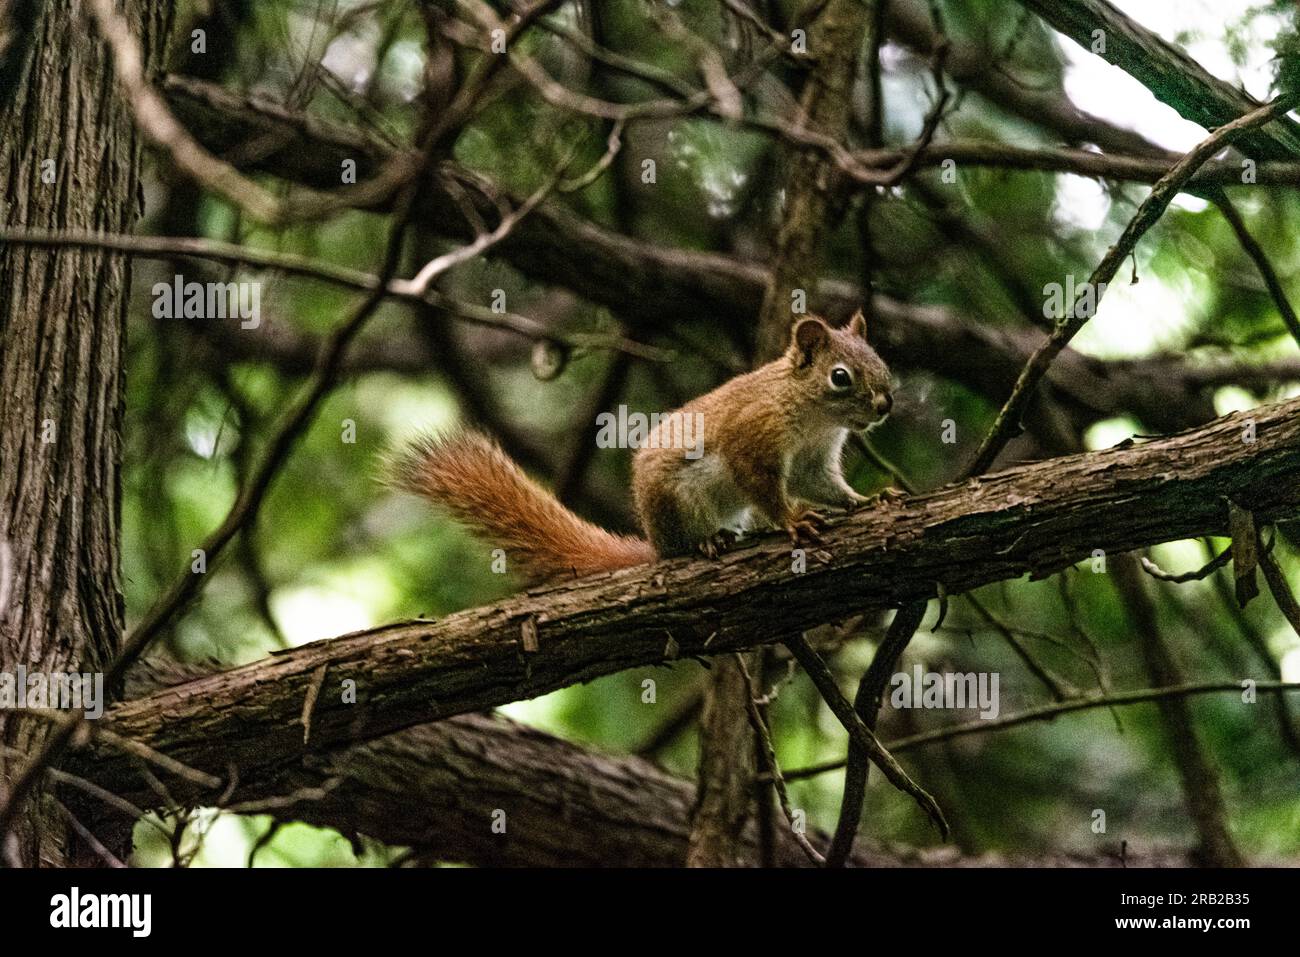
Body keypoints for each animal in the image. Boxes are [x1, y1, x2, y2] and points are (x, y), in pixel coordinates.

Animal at [389, 311, 893, 584]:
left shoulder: (814, 460)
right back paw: (708, 541)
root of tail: (655, 542)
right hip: (679, 498)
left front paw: (868, 499)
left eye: (881, 362)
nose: (885, 405)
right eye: (840, 376)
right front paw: (792, 520)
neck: (812, 417)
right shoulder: (753, 440)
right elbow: (766, 488)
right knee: (687, 542)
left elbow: (823, 485)